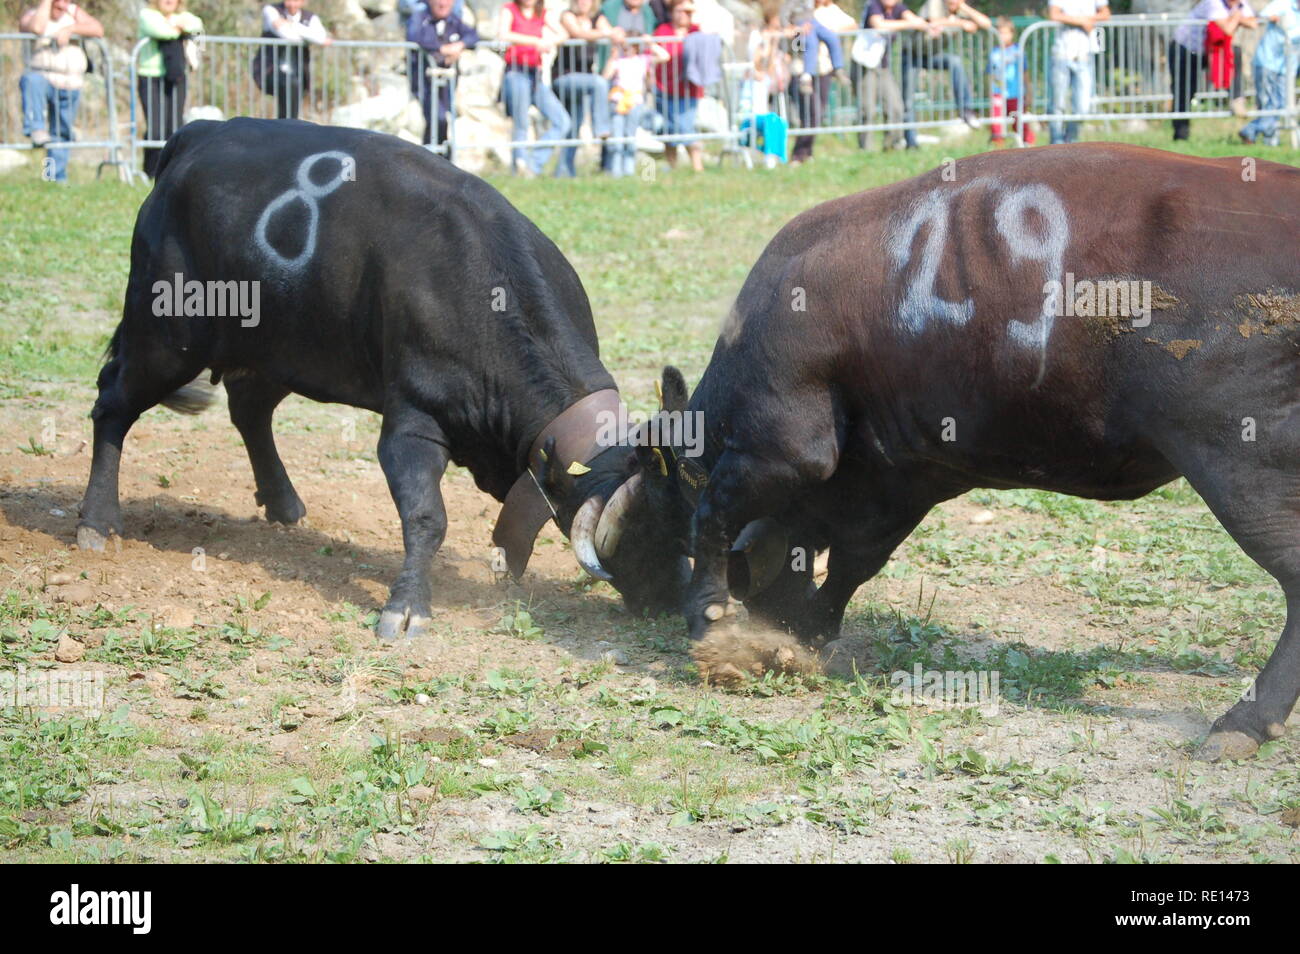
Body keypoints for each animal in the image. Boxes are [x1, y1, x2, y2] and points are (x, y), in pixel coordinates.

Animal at [76, 118, 688, 637]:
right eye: (638, 535)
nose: (675, 601)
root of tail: (200, 132)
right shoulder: (412, 423)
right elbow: (427, 515)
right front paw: (407, 606)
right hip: (165, 334)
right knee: (113, 403)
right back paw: (97, 521)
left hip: (287, 343)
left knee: (249, 406)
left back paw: (283, 504)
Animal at [586, 144, 1300, 761]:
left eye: (649, 497)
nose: (633, 593)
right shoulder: (904, 475)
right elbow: (853, 563)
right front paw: (800, 635)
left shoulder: (785, 446)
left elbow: (715, 513)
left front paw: (711, 622)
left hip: (1240, 462)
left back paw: (1244, 722)